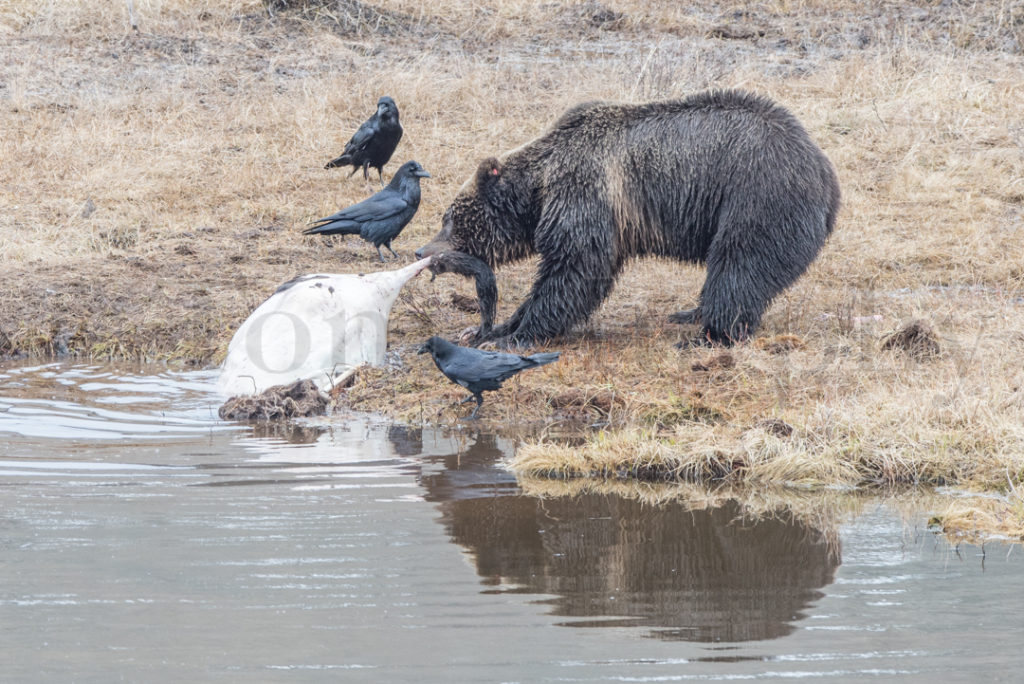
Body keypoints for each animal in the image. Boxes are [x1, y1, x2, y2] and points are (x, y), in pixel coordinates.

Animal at [415, 89, 841, 347]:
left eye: (449, 217)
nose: (421, 251)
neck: (540, 187)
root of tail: (826, 173)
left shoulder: (585, 193)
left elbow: (575, 269)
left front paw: (511, 335)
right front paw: (499, 326)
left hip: (758, 197)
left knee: (740, 266)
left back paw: (707, 334)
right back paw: (689, 313)